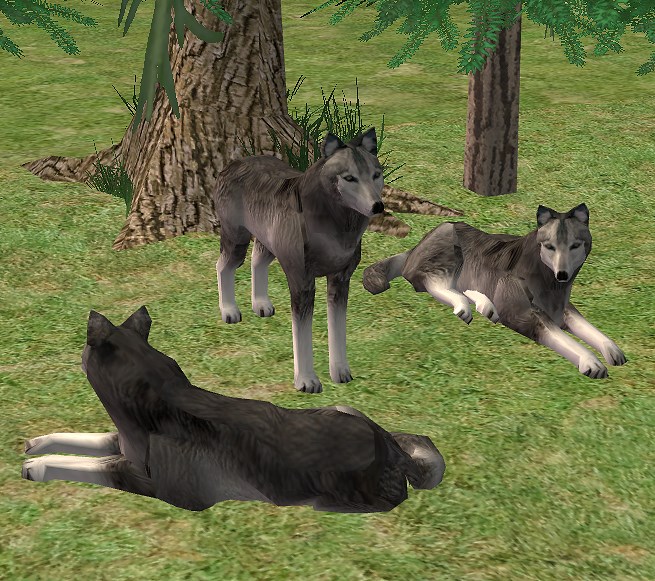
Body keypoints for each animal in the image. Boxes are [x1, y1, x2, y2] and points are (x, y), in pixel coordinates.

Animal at [22, 307, 445, 513]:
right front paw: (37, 442)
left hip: (331, 500)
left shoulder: (157, 485)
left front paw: (37, 466)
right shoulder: (121, 441)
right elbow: (88, 440)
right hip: (344, 407)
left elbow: (92, 466)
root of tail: (392, 450)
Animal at [213, 128, 385, 393]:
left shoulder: (340, 280)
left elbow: (338, 329)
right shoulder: (302, 281)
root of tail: (234, 163)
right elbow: (302, 334)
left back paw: (261, 305)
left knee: (256, 262)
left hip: (268, 243)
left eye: (376, 175)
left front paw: (340, 373)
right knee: (222, 266)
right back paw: (229, 311)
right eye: (349, 178)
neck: (335, 224)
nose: (378, 206)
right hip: (237, 240)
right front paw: (306, 381)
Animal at [362, 204, 627, 379]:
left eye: (574, 245)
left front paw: (611, 349)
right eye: (550, 246)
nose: (562, 274)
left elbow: (589, 329)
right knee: (432, 283)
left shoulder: (562, 309)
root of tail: (415, 248)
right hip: (449, 244)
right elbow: (564, 339)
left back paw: (484, 305)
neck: (547, 279)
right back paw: (465, 305)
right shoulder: (522, 313)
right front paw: (589, 360)